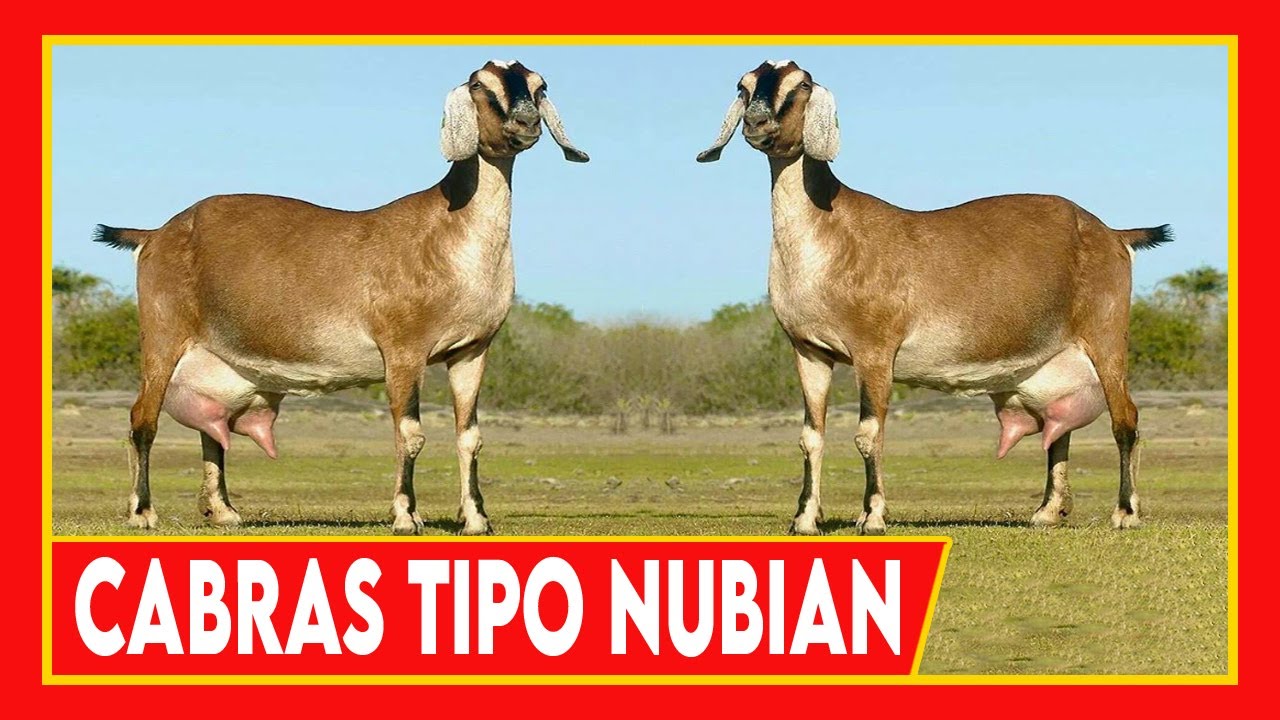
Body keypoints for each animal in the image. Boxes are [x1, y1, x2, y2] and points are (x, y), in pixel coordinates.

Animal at [94, 60, 588, 535]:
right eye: (482, 86)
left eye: (538, 86)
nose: (526, 123)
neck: (449, 233)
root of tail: (154, 234)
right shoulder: (403, 351)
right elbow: (410, 433)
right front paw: (406, 516)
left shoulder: (472, 350)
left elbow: (470, 436)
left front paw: (476, 520)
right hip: (163, 334)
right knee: (143, 419)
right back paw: (143, 512)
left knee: (212, 427)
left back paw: (224, 511)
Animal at [698, 60, 1171, 535]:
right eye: (745, 87)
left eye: (801, 88)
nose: (757, 125)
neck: (829, 235)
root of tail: (1114, 234)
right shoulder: (809, 350)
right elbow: (810, 436)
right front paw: (805, 519)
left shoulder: (874, 351)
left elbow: (868, 434)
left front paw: (872, 516)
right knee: (1058, 427)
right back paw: (1048, 510)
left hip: (1106, 333)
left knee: (1125, 418)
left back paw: (1125, 512)